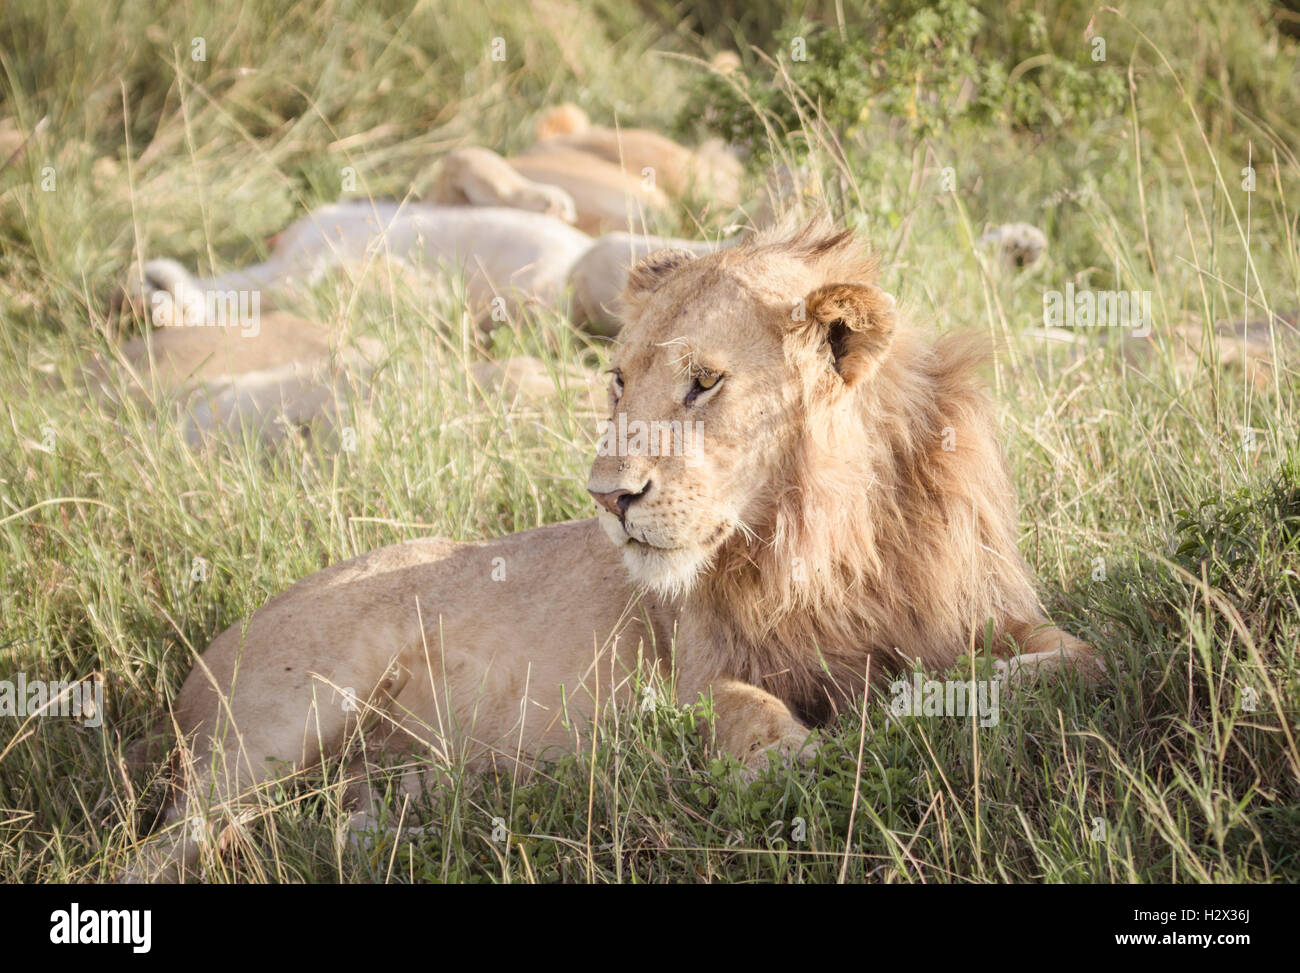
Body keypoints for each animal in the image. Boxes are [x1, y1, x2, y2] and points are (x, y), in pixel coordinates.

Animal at [122, 217, 1097, 882]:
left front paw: (928, 697)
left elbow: (1080, 657)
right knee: (169, 838)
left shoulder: (995, 614)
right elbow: (762, 725)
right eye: (618, 380)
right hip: (283, 717)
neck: (819, 543)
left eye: (704, 383)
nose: (607, 496)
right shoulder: (693, 675)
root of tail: (200, 659)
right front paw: (841, 738)